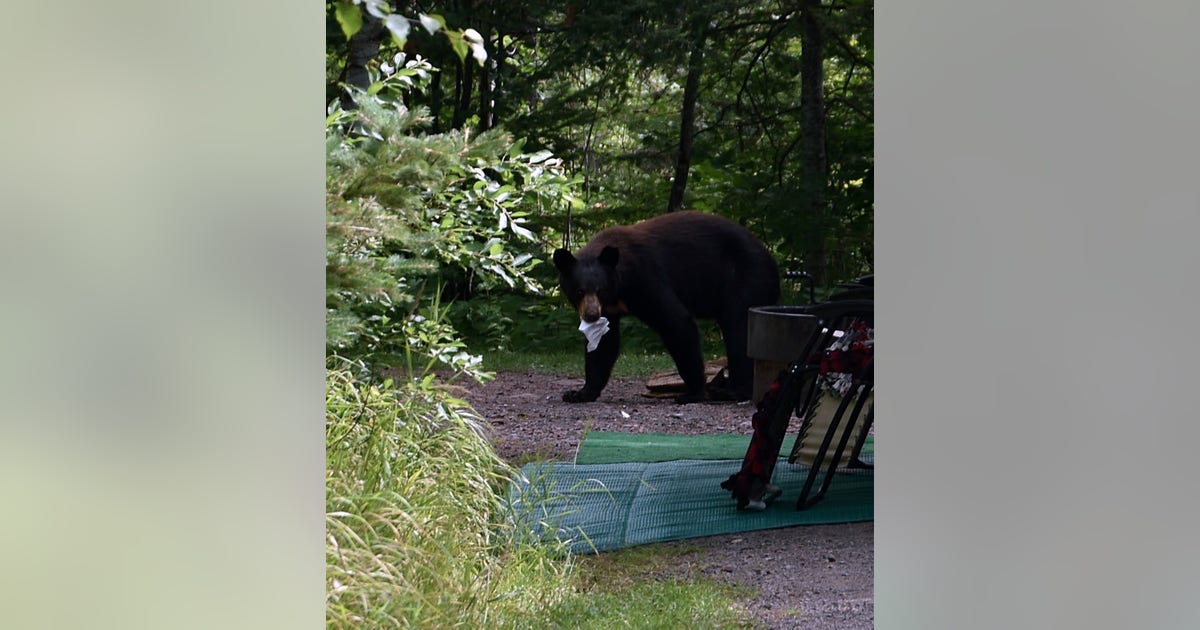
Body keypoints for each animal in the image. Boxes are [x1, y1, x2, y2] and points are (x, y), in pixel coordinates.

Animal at [552, 210, 780, 403]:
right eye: (579, 291)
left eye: (600, 290)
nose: (591, 315)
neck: (620, 287)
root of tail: (771, 261)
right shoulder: (609, 308)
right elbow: (604, 343)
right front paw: (580, 392)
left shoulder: (646, 278)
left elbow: (676, 322)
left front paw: (693, 392)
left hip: (746, 278)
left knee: (738, 327)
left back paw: (731, 391)